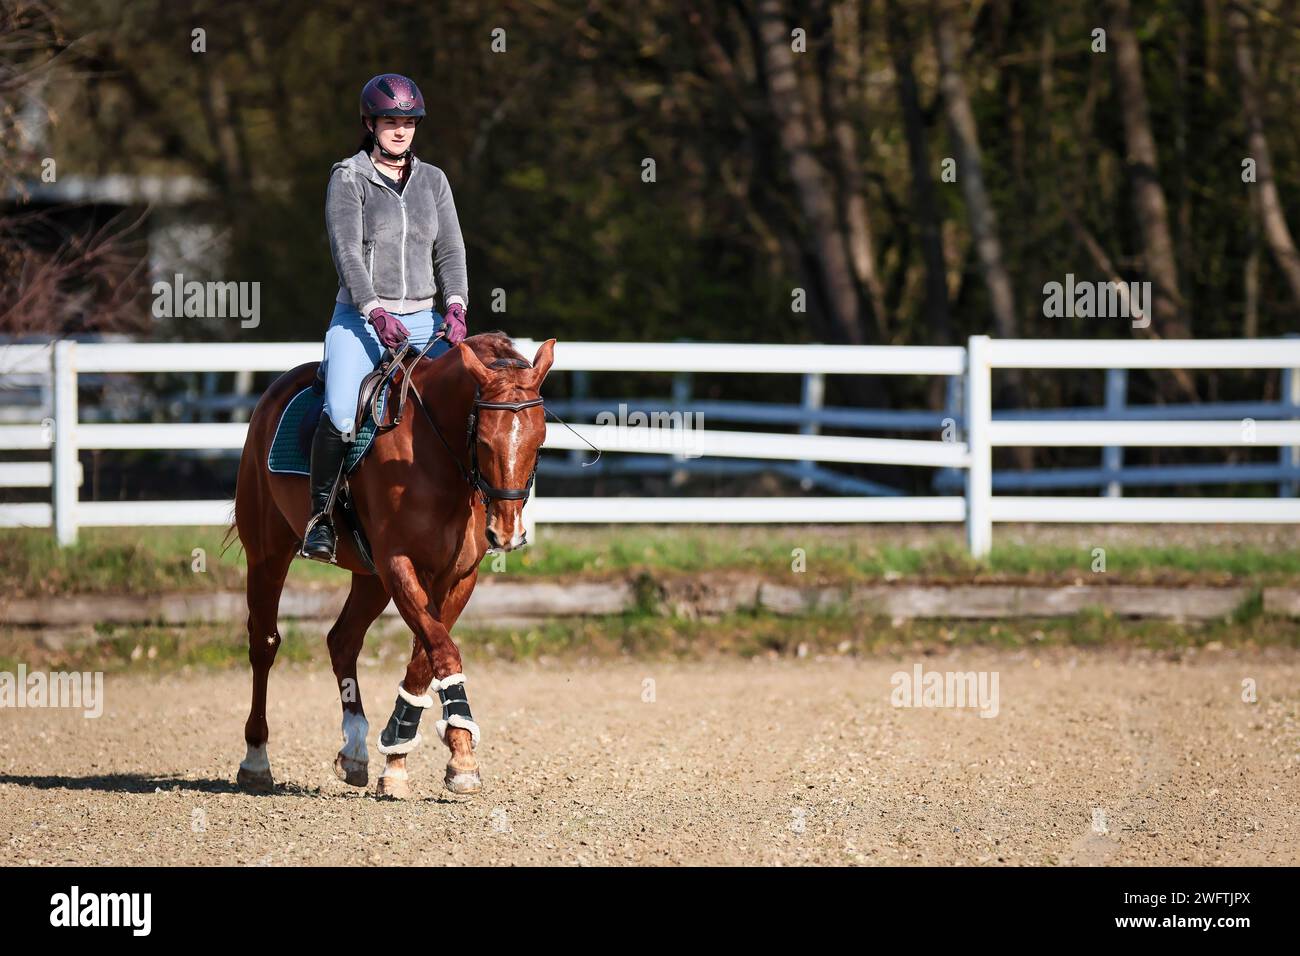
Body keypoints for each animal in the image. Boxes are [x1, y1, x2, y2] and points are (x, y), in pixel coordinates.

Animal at [228, 331, 555, 798]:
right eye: (483, 440)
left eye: (539, 440)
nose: (507, 533)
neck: (435, 454)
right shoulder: (399, 564)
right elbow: (443, 651)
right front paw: (458, 758)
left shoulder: (457, 577)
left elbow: (426, 658)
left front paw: (405, 757)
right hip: (267, 555)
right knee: (264, 643)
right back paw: (256, 760)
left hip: (370, 579)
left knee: (342, 640)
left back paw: (354, 752)